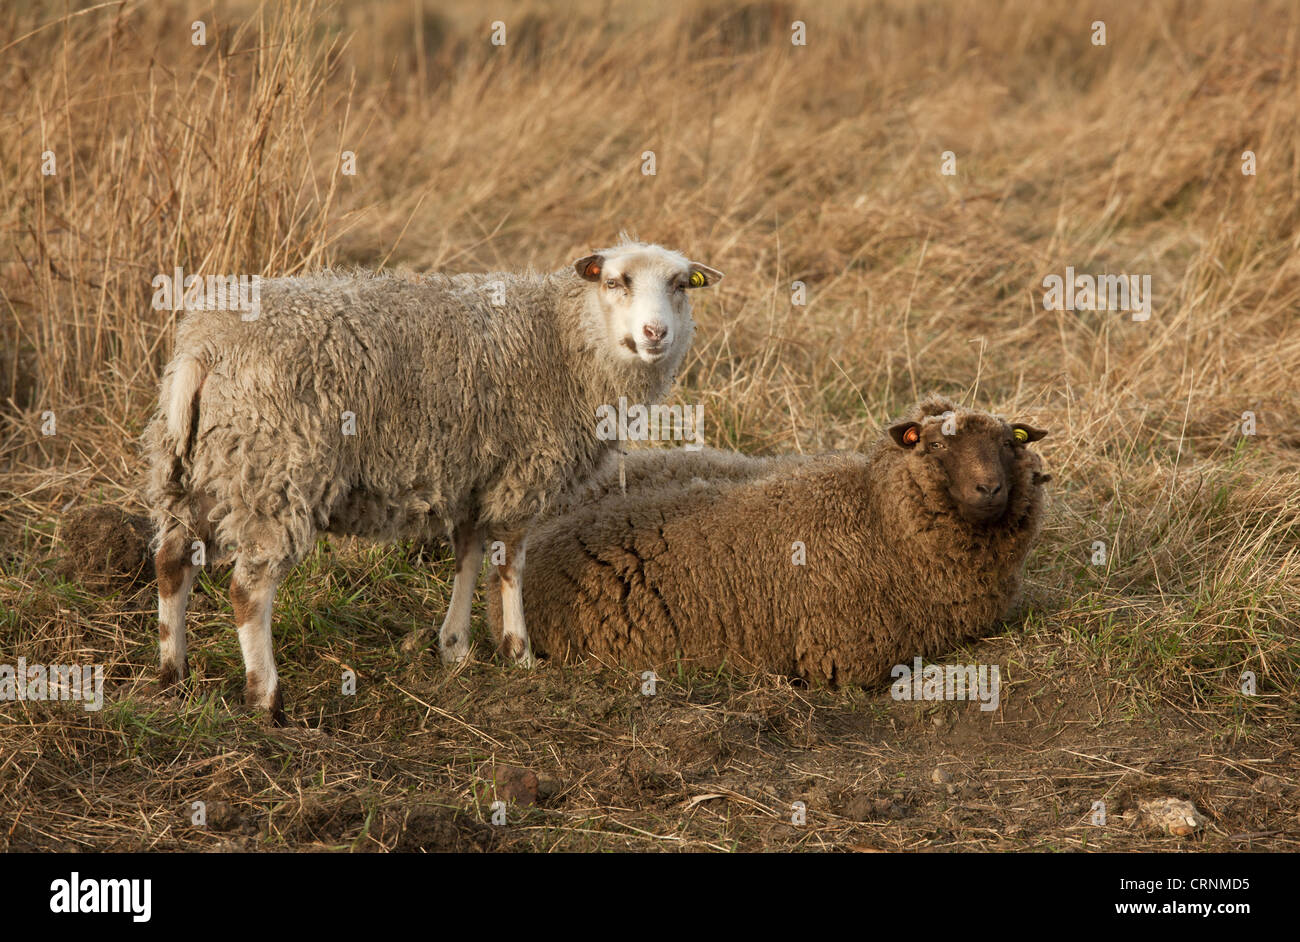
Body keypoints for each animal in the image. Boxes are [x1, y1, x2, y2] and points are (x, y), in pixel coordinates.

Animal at [144, 240, 724, 722]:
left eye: (679, 285)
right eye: (615, 282)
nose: (655, 334)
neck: (563, 338)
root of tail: (205, 347)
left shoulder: (472, 478)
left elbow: (467, 557)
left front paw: (456, 647)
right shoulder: (522, 474)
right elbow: (510, 564)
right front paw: (518, 653)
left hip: (198, 468)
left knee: (172, 562)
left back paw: (174, 675)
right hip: (278, 471)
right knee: (249, 590)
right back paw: (265, 698)